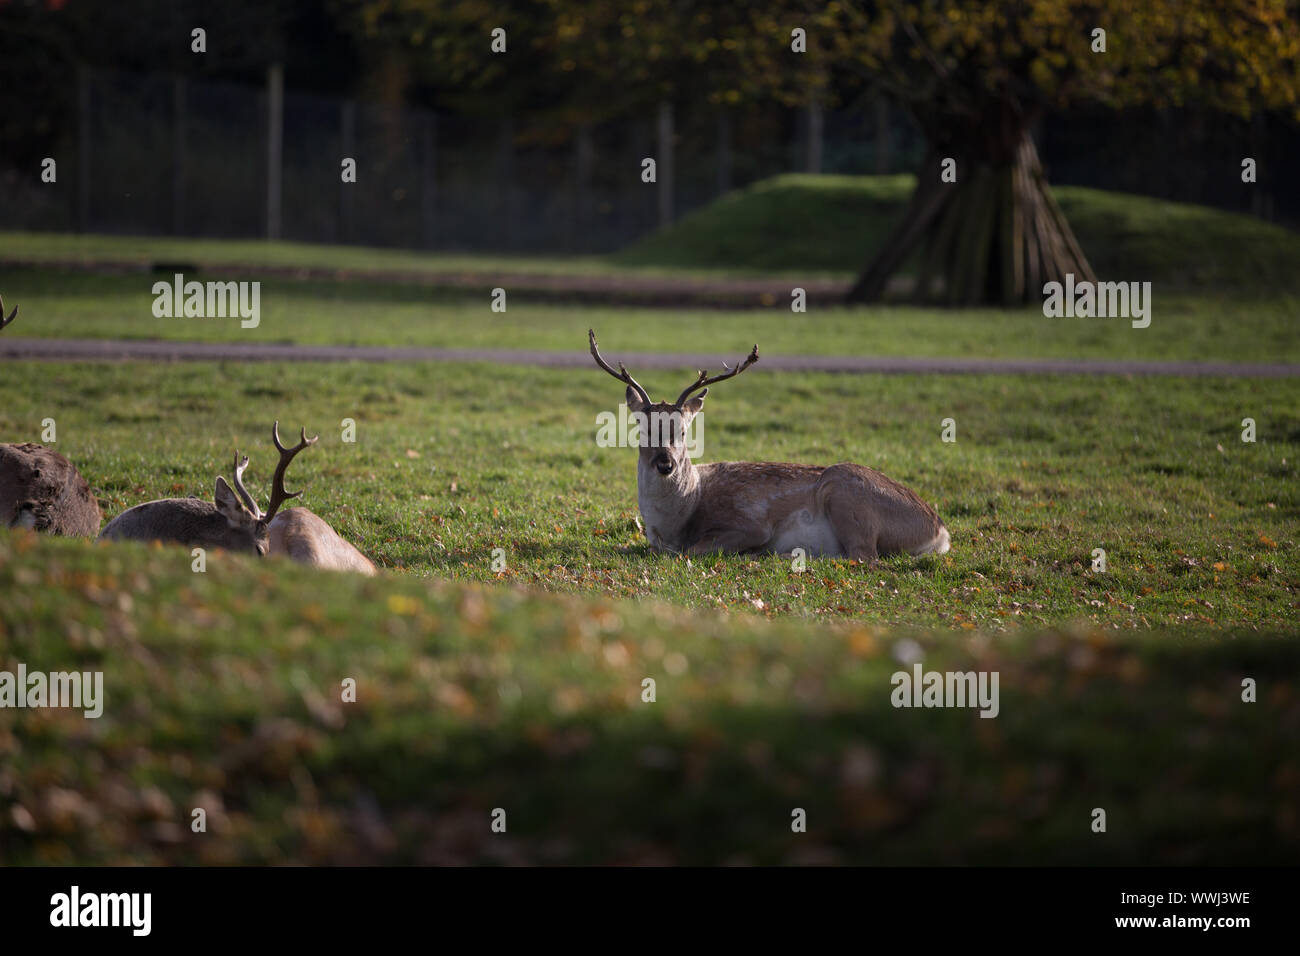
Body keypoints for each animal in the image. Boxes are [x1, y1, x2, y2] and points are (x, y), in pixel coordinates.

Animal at [588, 329, 950, 564]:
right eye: (641, 426)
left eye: (684, 429)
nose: (665, 464)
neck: (677, 522)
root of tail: (939, 532)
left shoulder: (750, 524)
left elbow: (694, 551)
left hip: (844, 492)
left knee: (863, 557)